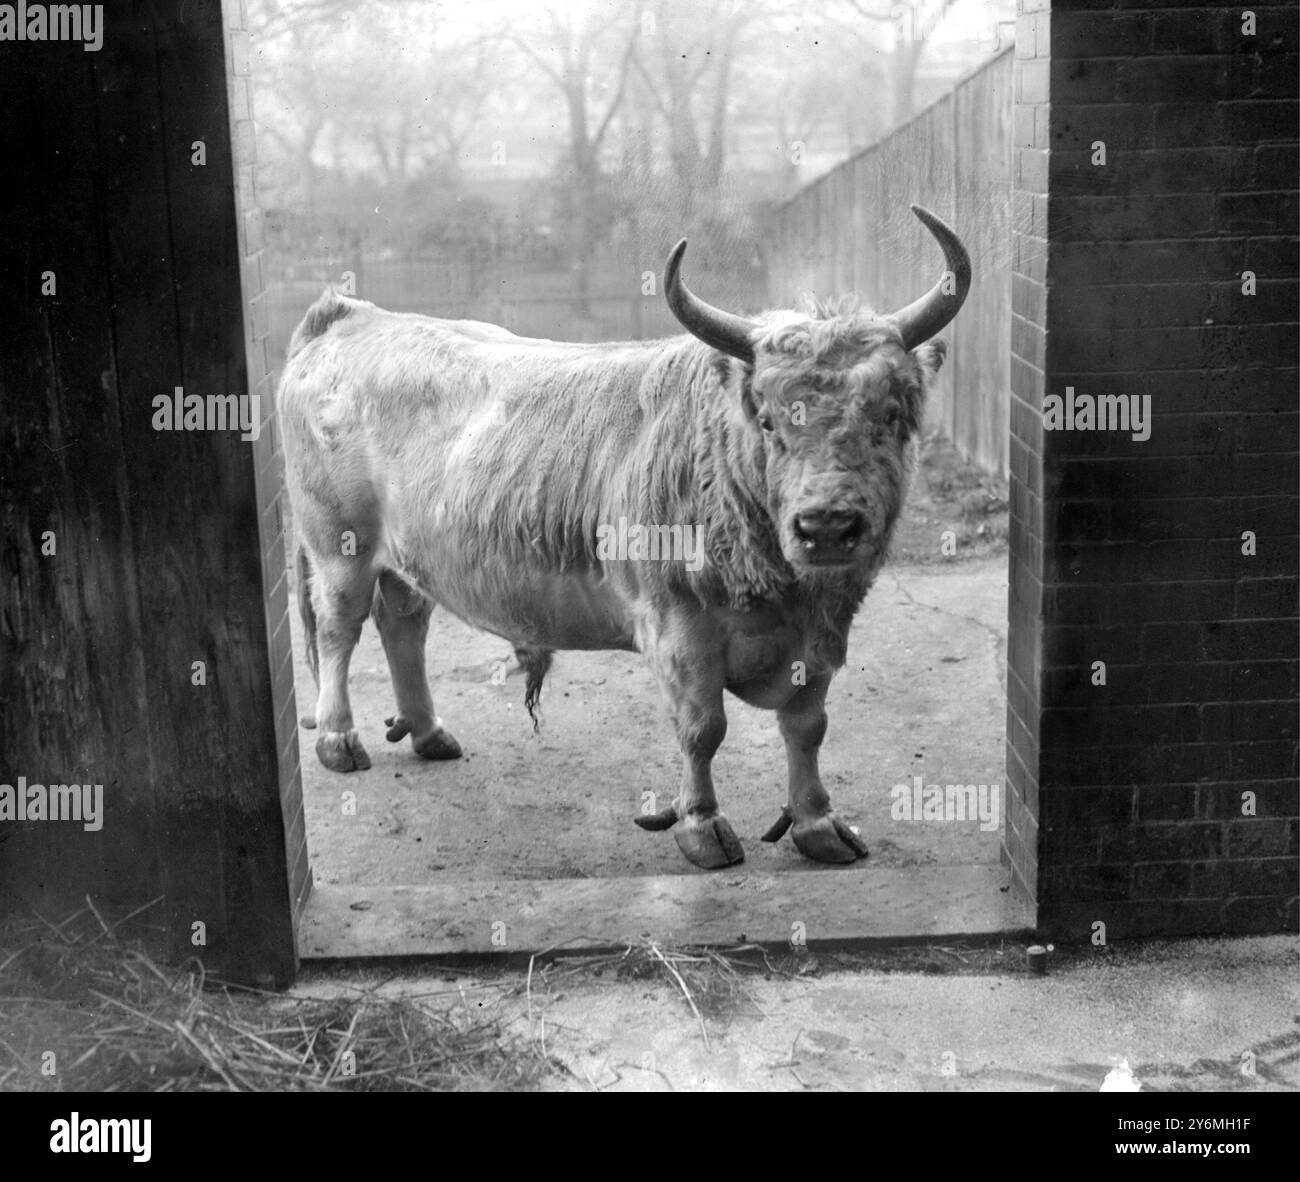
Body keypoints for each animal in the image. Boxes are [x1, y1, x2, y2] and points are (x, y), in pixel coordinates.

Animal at [278, 205, 970, 870]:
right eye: (771, 421)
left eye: (891, 414)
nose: (825, 526)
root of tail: (348, 319)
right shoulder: (681, 631)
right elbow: (702, 729)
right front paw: (701, 826)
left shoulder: (819, 638)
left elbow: (806, 727)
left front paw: (818, 824)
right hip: (339, 547)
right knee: (340, 631)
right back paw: (339, 738)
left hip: (406, 557)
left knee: (404, 625)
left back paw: (427, 731)